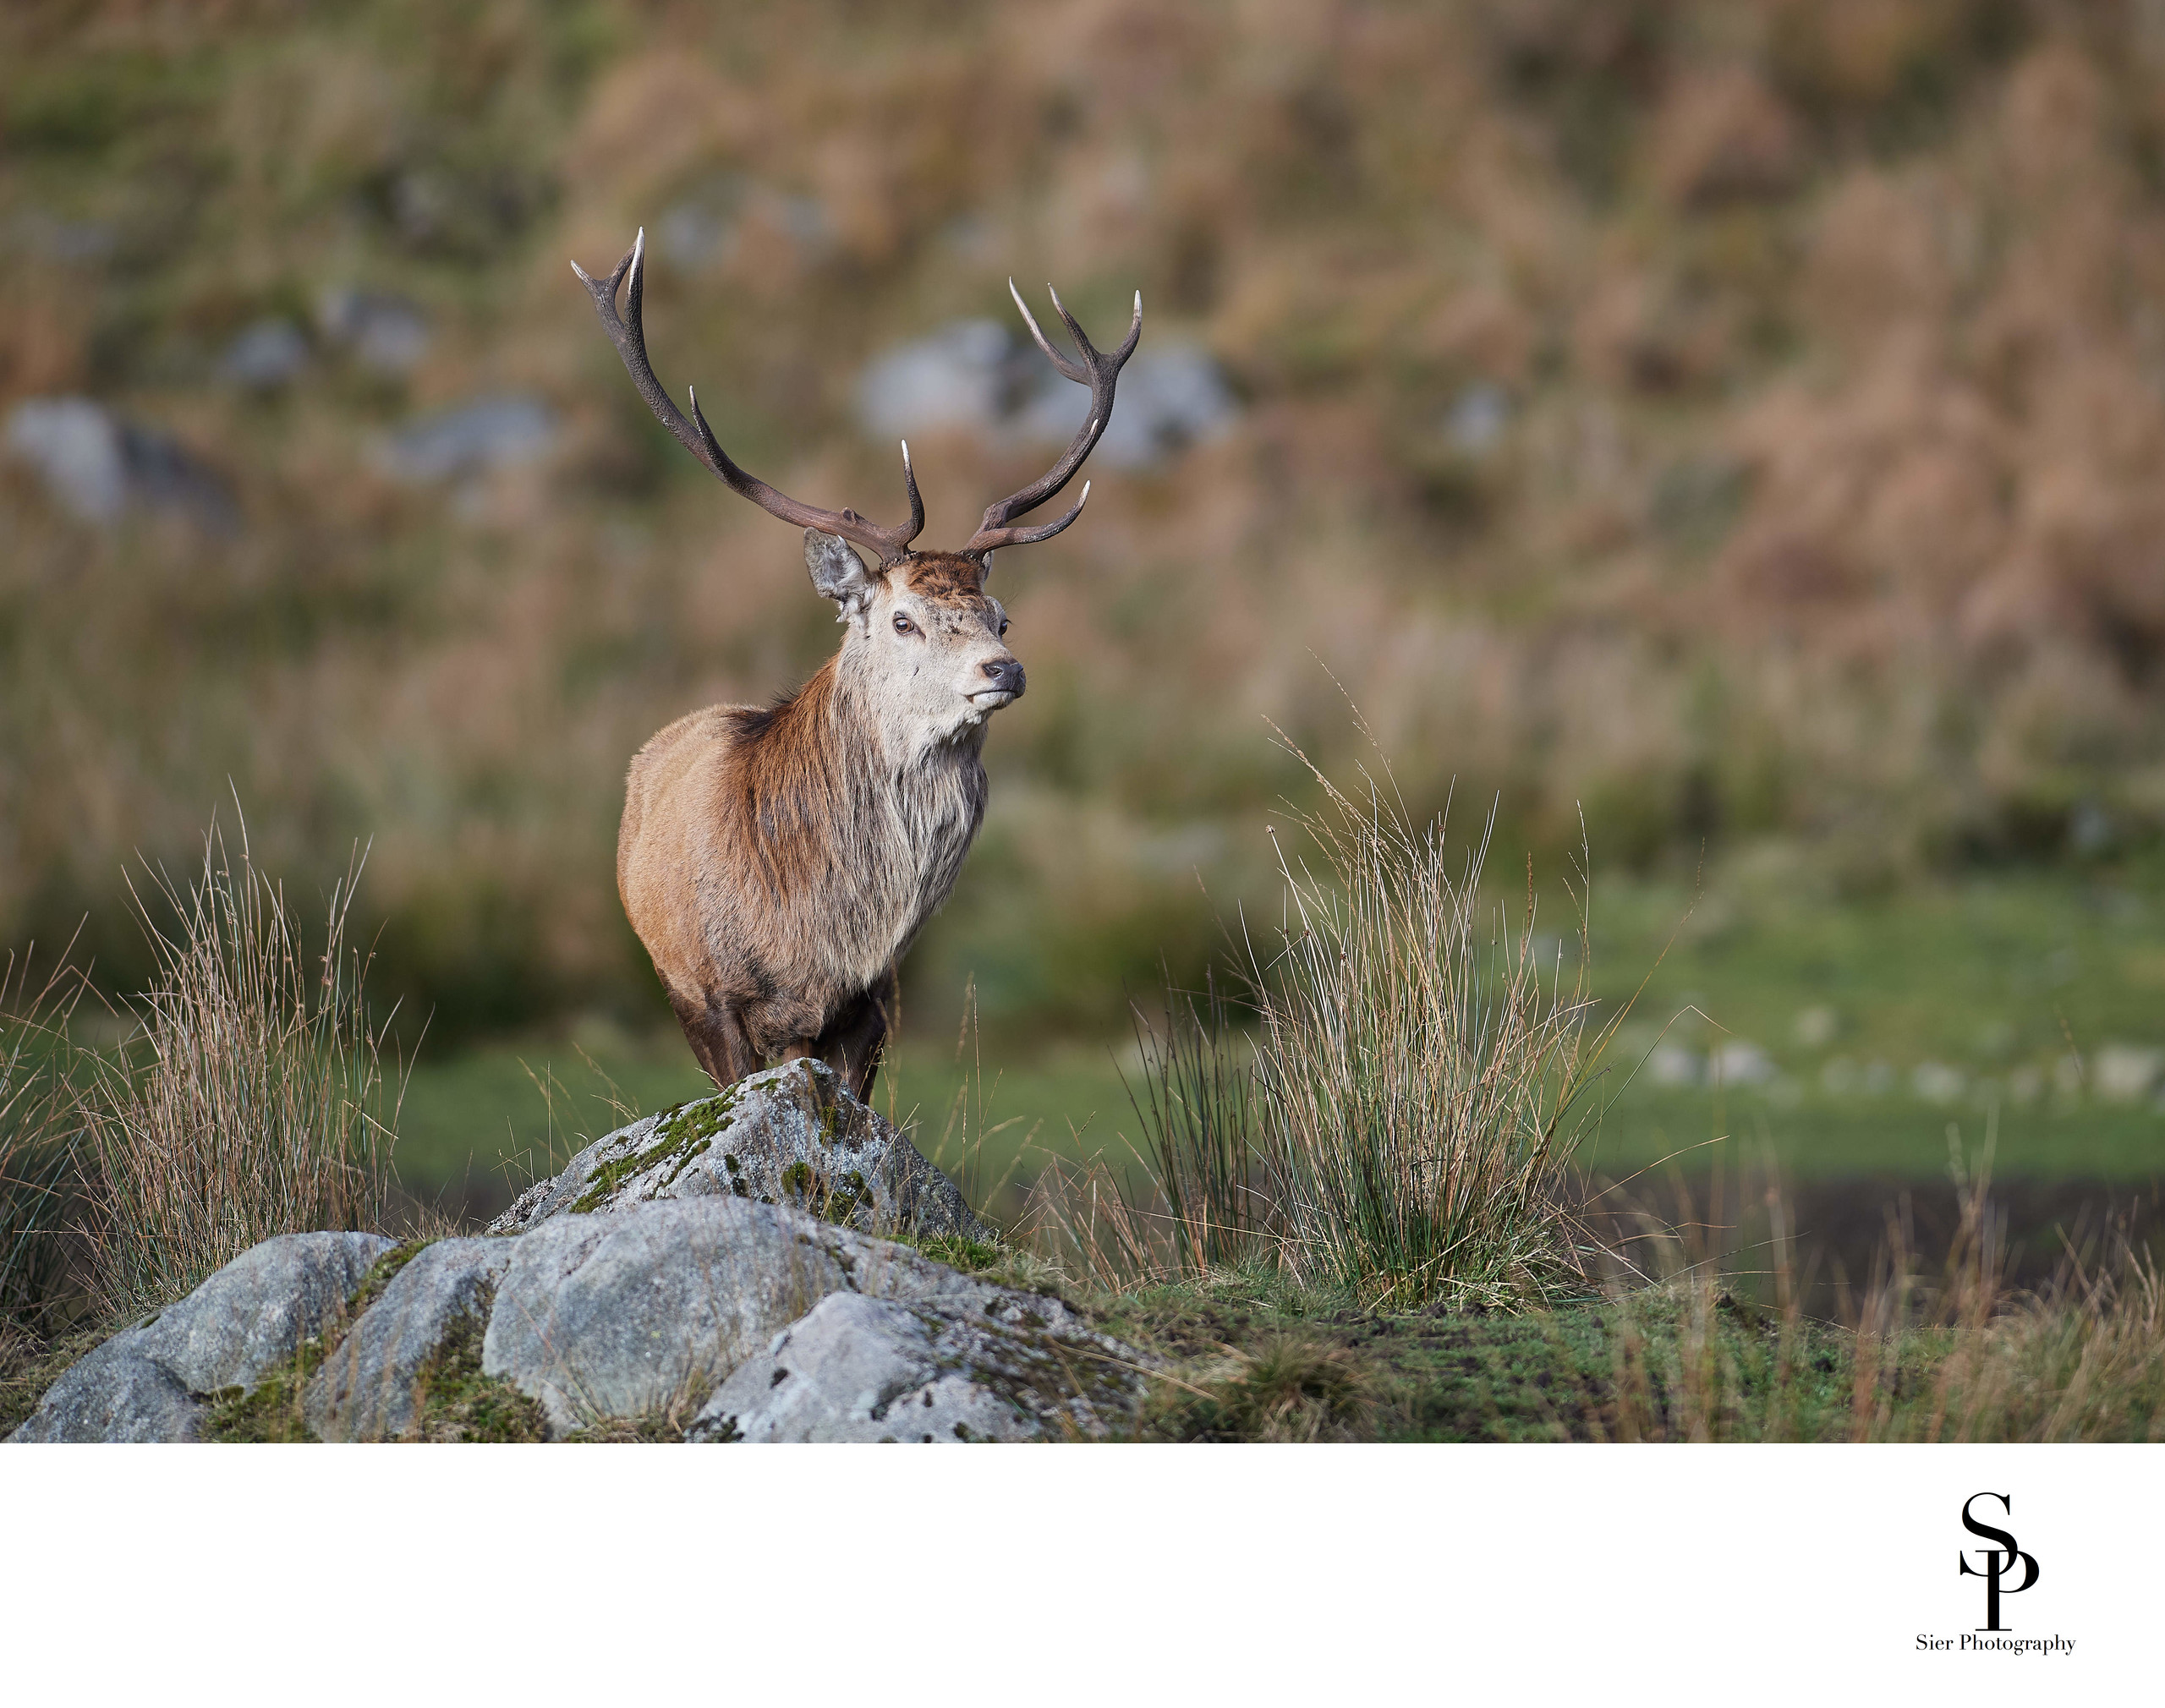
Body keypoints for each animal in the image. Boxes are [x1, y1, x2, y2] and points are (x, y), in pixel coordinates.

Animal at [573, 229, 1139, 1100]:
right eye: (903, 620)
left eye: (1000, 617)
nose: (1003, 670)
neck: (812, 938)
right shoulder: (714, 997)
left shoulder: (869, 1005)